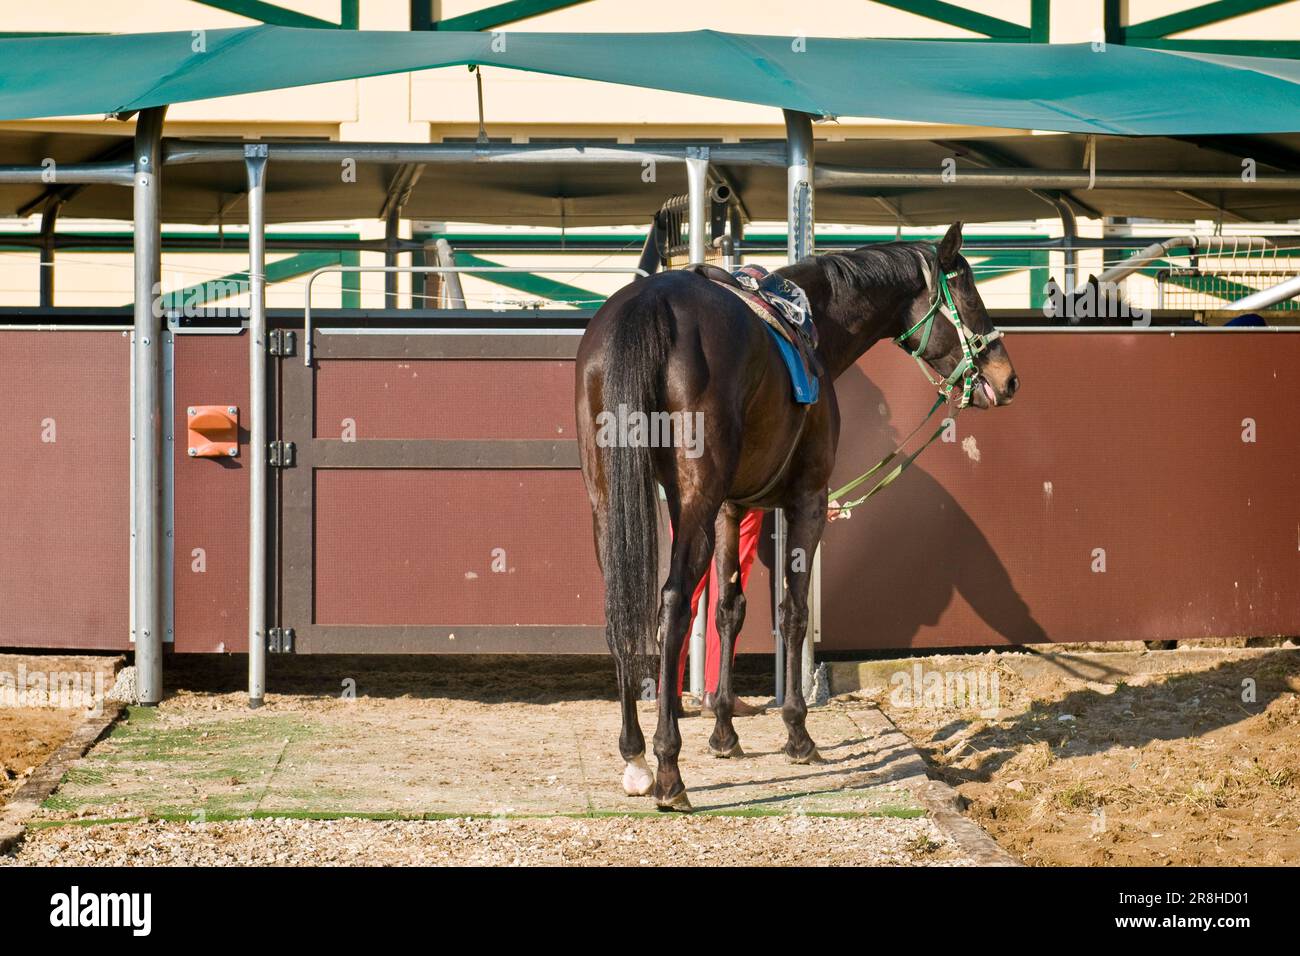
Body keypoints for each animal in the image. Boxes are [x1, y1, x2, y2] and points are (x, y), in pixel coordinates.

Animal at [575, 221, 1019, 811]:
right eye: (968, 293)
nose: (1007, 377)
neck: (809, 324)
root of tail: (651, 302)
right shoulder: (806, 501)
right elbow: (792, 612)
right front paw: (798, 733)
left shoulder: (731, 509)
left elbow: (730, 609)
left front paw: (724, 731)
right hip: (693, 502)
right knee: (671, 604)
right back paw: (668, 769)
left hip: (609, 499)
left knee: (623, 607)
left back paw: (635, 757)